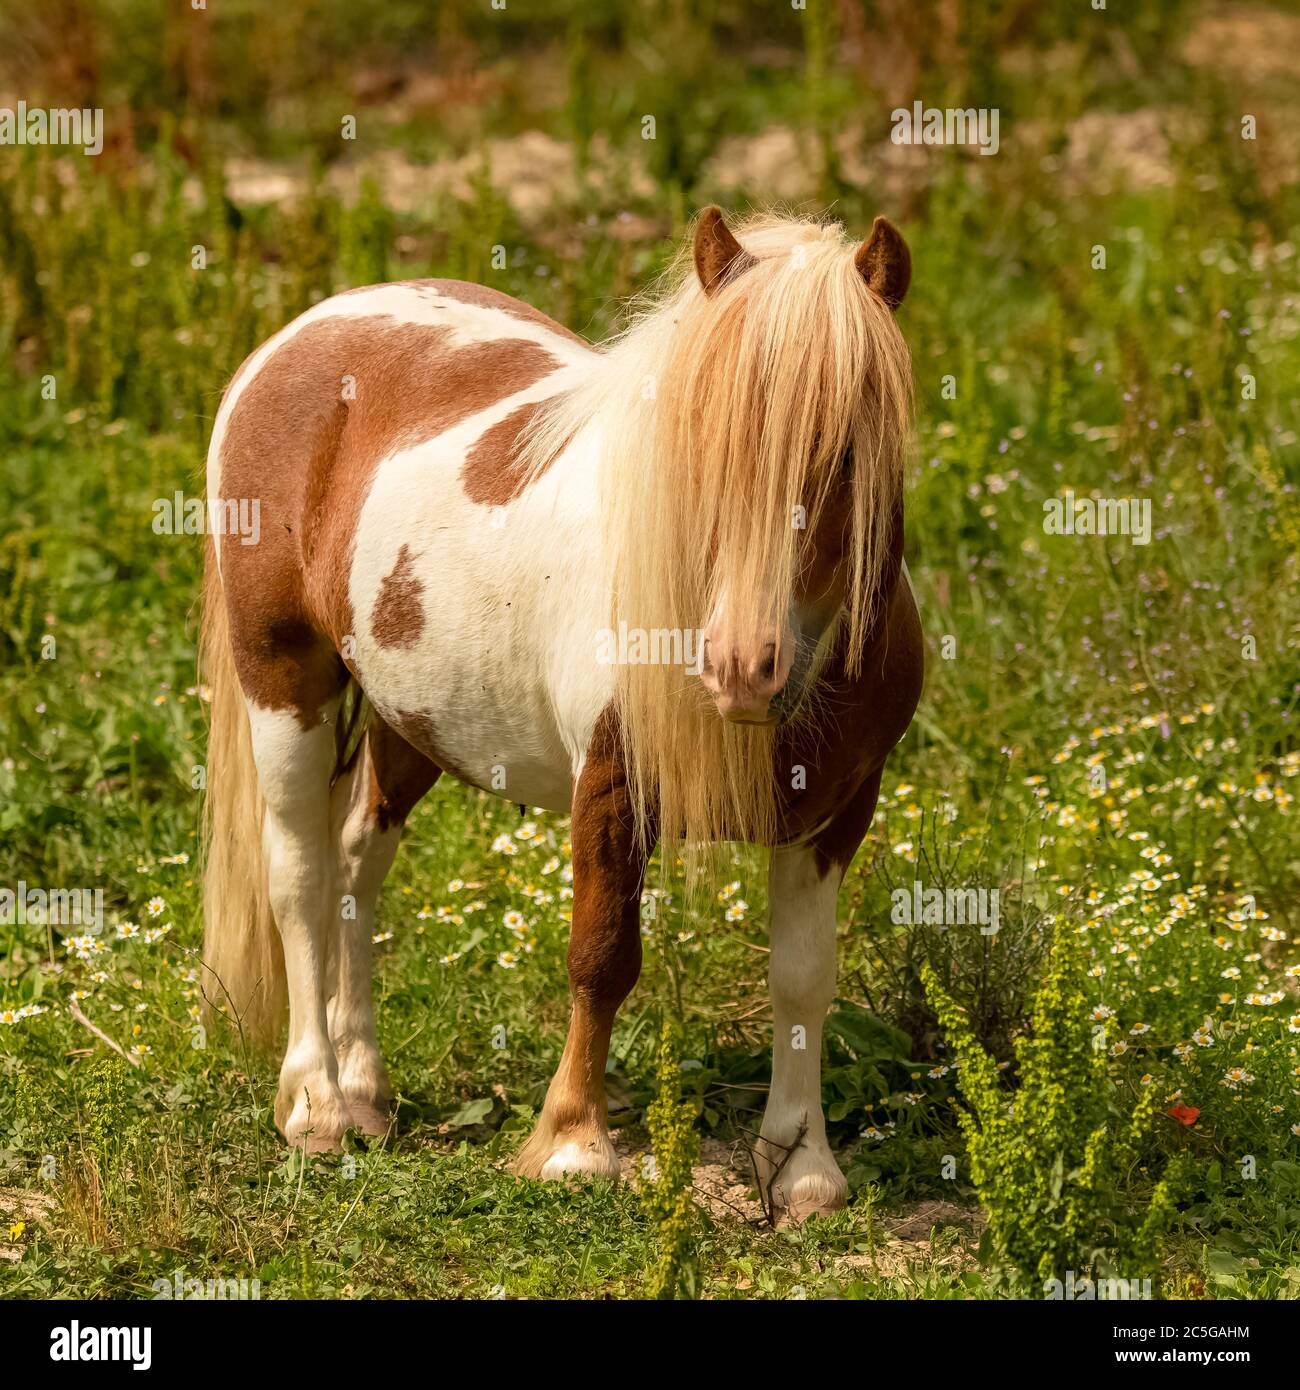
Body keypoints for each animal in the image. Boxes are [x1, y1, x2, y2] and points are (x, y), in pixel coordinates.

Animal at [199, 206, 922, 1225]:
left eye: (846, 453)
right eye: (694, 443)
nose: (740, 667)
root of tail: (300, 335)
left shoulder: (839, 812)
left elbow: (803, 978)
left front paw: (801, 1166)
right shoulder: (612, 787)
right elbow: (602, 958)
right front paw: (574, 1143)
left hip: (407, 720)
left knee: (356, 865)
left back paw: (366, 1090)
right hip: (284, 684)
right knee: (300, 880)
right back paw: (316, 1105)